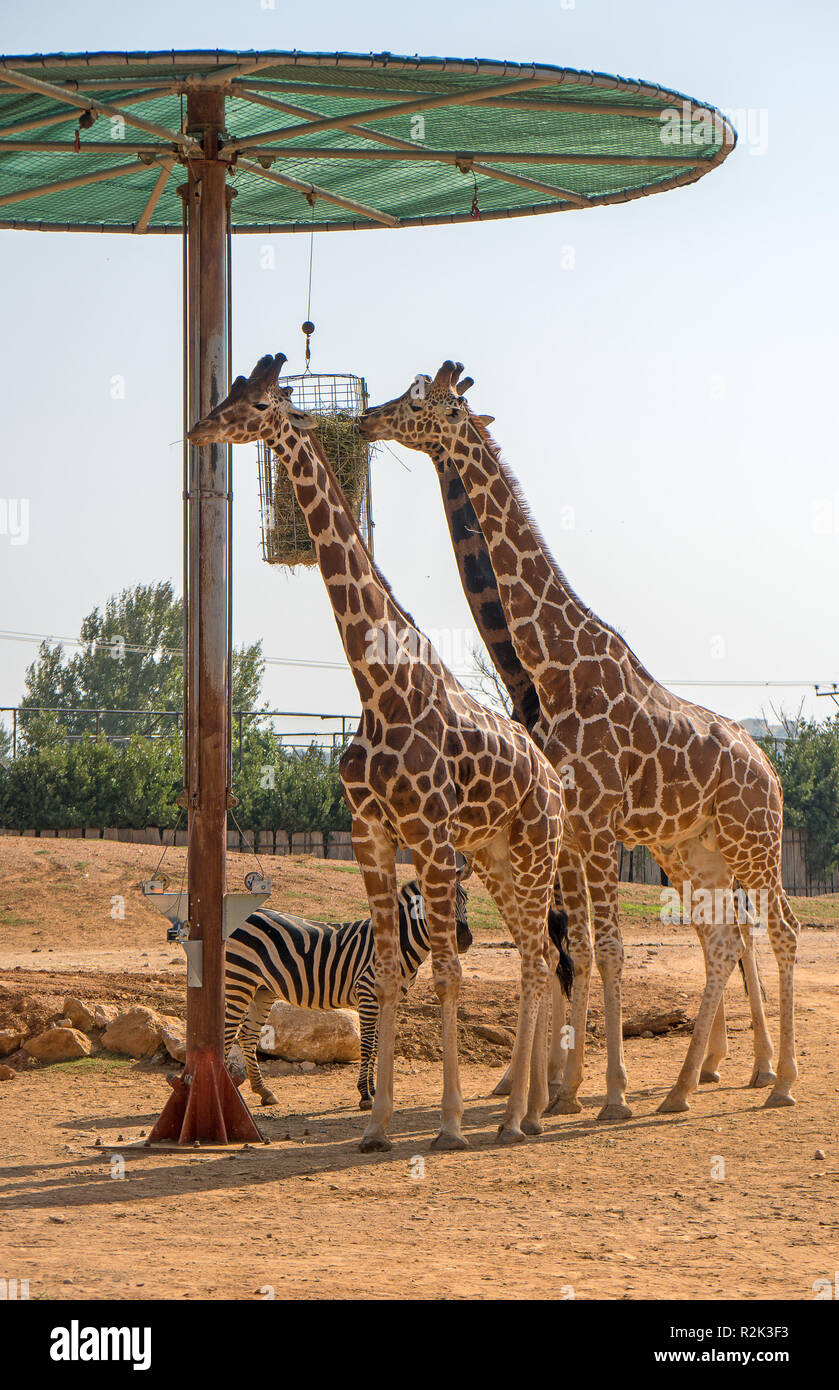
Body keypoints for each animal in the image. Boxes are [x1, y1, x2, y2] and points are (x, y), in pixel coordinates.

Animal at [224, 877, 473, 1110]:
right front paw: (365, 1095)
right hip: (238, 980)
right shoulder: (368, 992)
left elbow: (377, 1044)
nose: (464, 940)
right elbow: (368, 1044)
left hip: (262, 989)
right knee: (228, 1033)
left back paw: (263, 1091)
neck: (398, 945)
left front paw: (373, 1090)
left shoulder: (387, 999)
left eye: (466, 900)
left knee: (247, 1034)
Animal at [359, 361, 800, 1119]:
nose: (367, 418)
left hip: (755, 842)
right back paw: (683, 1087)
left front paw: (600, 1092)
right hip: (695, 849)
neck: (549, 665)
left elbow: (604, 949)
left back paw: (777, 1080)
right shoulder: (569, 831)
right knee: (720, 942)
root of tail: (768, 765)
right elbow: (572, 950)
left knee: (777, 931)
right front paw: (556, 1090)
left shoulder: (591, 825)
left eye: (420, 401)